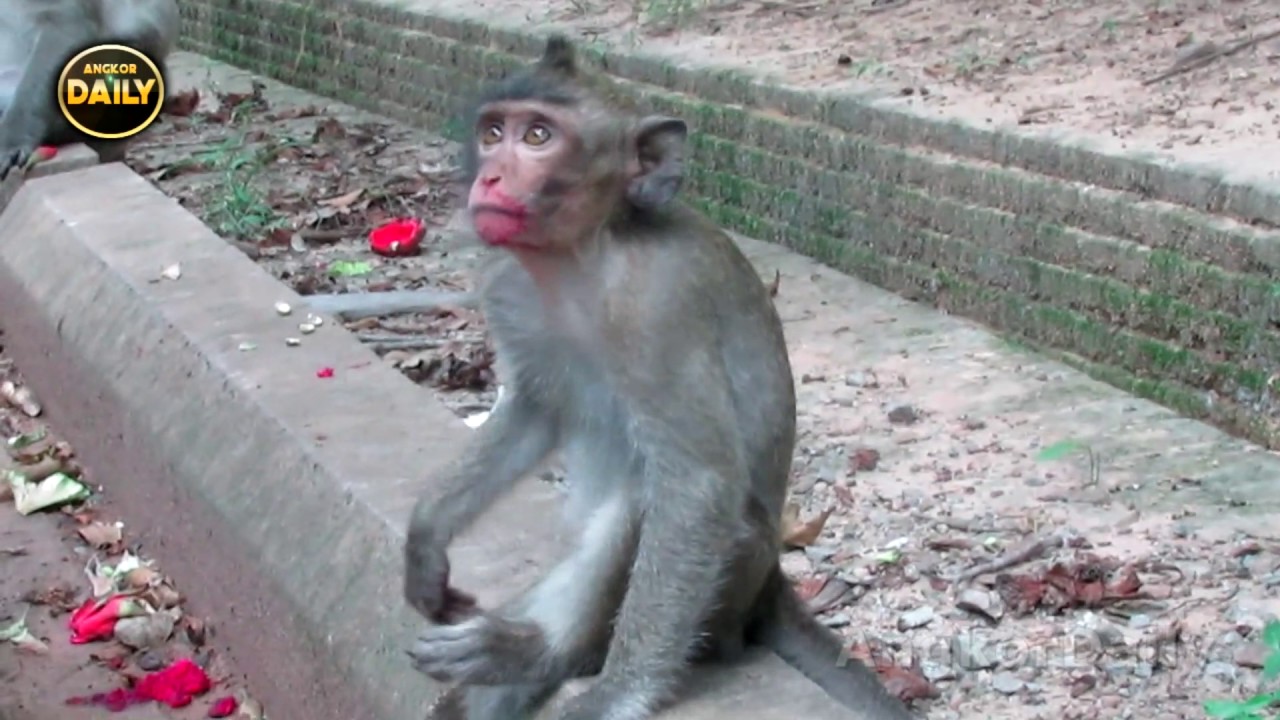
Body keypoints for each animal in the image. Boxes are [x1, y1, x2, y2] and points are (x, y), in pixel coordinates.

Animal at [402, 34, 917, 720]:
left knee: (647, 493)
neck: (582, 258)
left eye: (538, 136)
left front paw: (617, 693)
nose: (491, 176)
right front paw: (426, 536)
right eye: (493, 132)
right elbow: (534, 411)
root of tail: (772, 581)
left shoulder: (658, 308)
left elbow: (696, 484)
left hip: (732, 578)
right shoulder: (509, 286)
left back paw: (547, 651)